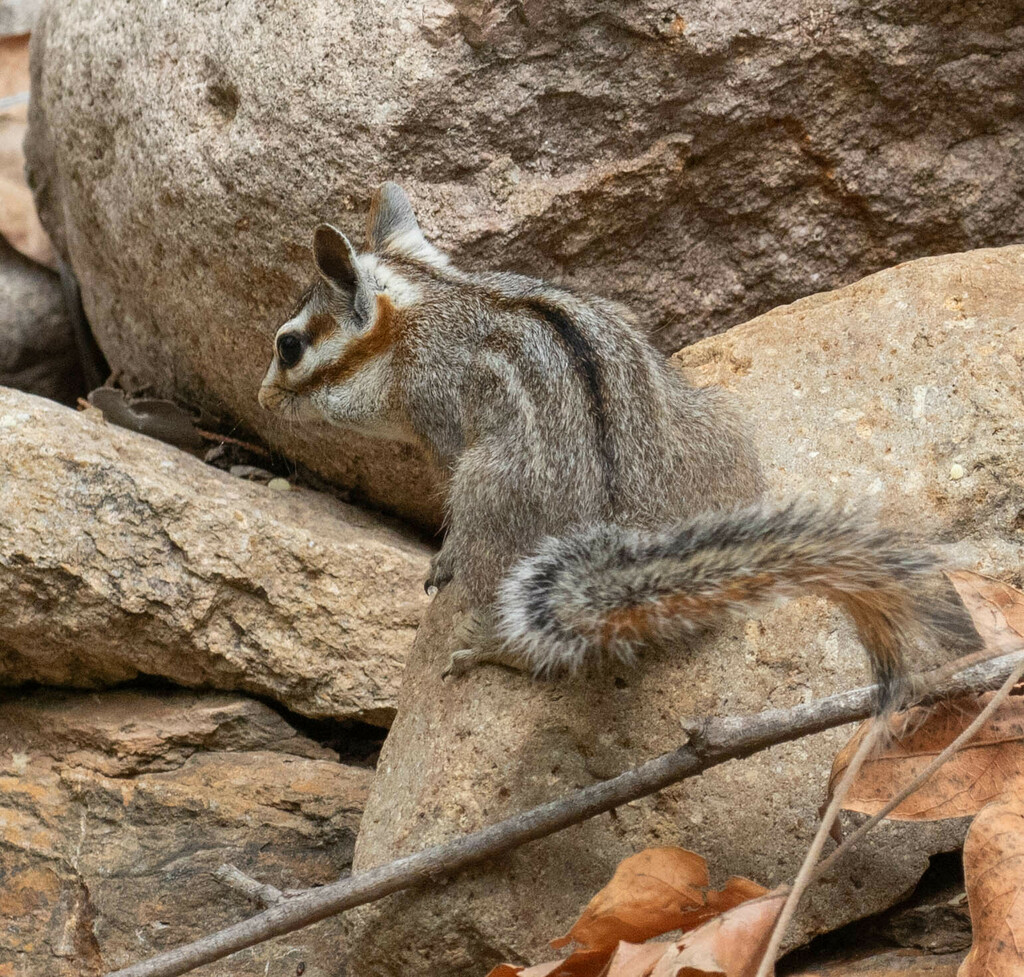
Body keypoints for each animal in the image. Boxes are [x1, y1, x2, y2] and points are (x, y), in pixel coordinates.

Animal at [259, 182, 981, 711]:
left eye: (288, 346)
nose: (262, 397)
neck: (426, 304)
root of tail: (623, 554)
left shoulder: (442, 429)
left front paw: (441, 559)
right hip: (723, 425)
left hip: (487, 496)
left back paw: (491, 645)